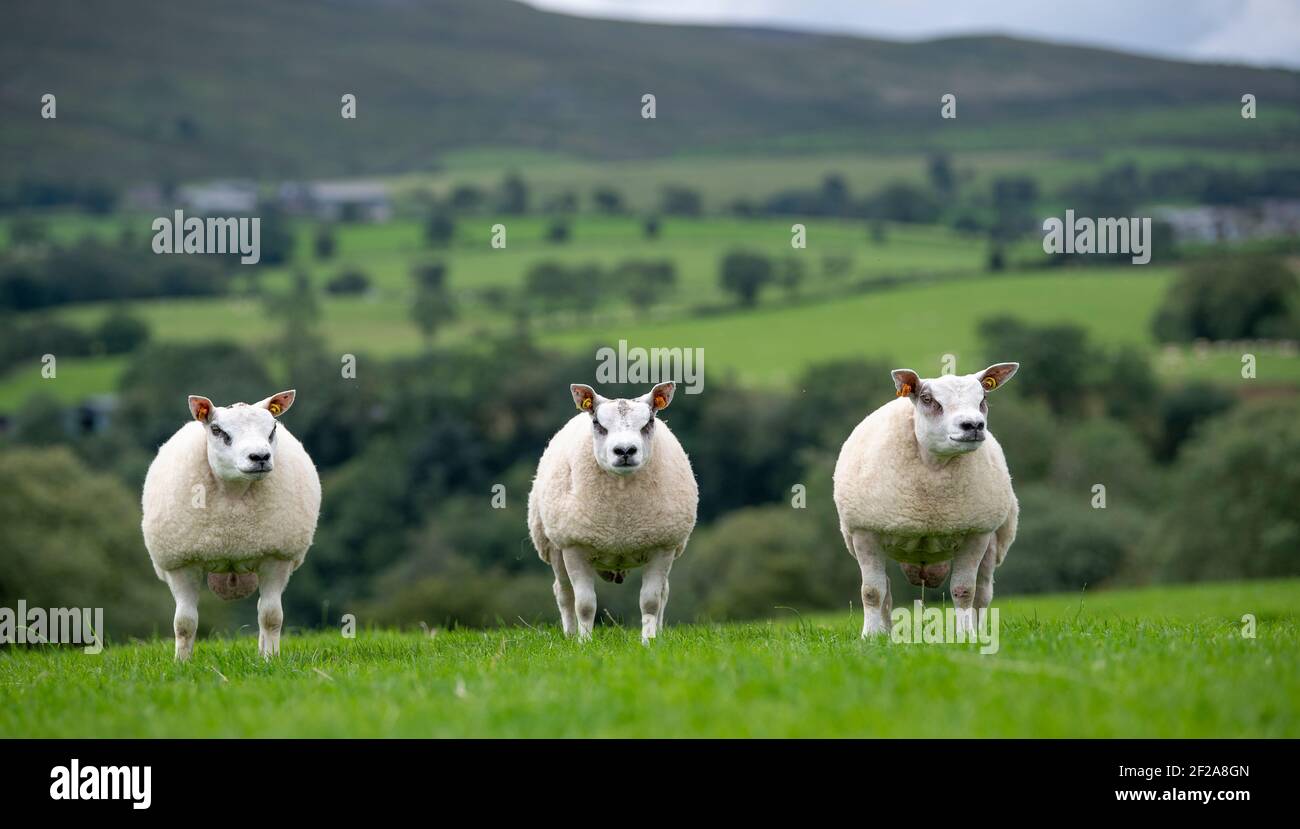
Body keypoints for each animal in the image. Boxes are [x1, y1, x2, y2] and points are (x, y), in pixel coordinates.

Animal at [141, 390, 321, 660]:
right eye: (217, 430)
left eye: (273, 428)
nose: (260, 457)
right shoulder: (181, 564)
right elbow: (184, 623)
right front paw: (181, 663)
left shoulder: (276, 557)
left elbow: (271, 617)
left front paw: (271, 660)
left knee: (262, 608)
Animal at [528, 381, 698, 643]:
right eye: (598, 423)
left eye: (649, 422)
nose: (625, 450)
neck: (620, 518)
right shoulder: (574, 546)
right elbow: (584, 604)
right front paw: (584, 642)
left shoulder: (662, 546)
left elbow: (651, 601)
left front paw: (649, 641)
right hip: (553, 545)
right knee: (563, 593)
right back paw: (569, 635)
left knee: (664, 593)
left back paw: (659, 632)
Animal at [833, 363, 1020, 638]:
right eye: (928, 399)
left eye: (983, 398)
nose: (973, 425)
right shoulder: (865, 533)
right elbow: (872, 592)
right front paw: (869, 636)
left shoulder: (976, 533)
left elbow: (965, 591)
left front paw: (966, 636)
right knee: (886, 591)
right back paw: (885, 633)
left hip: (994, 540)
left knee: (983, 592)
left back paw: (979, 630)